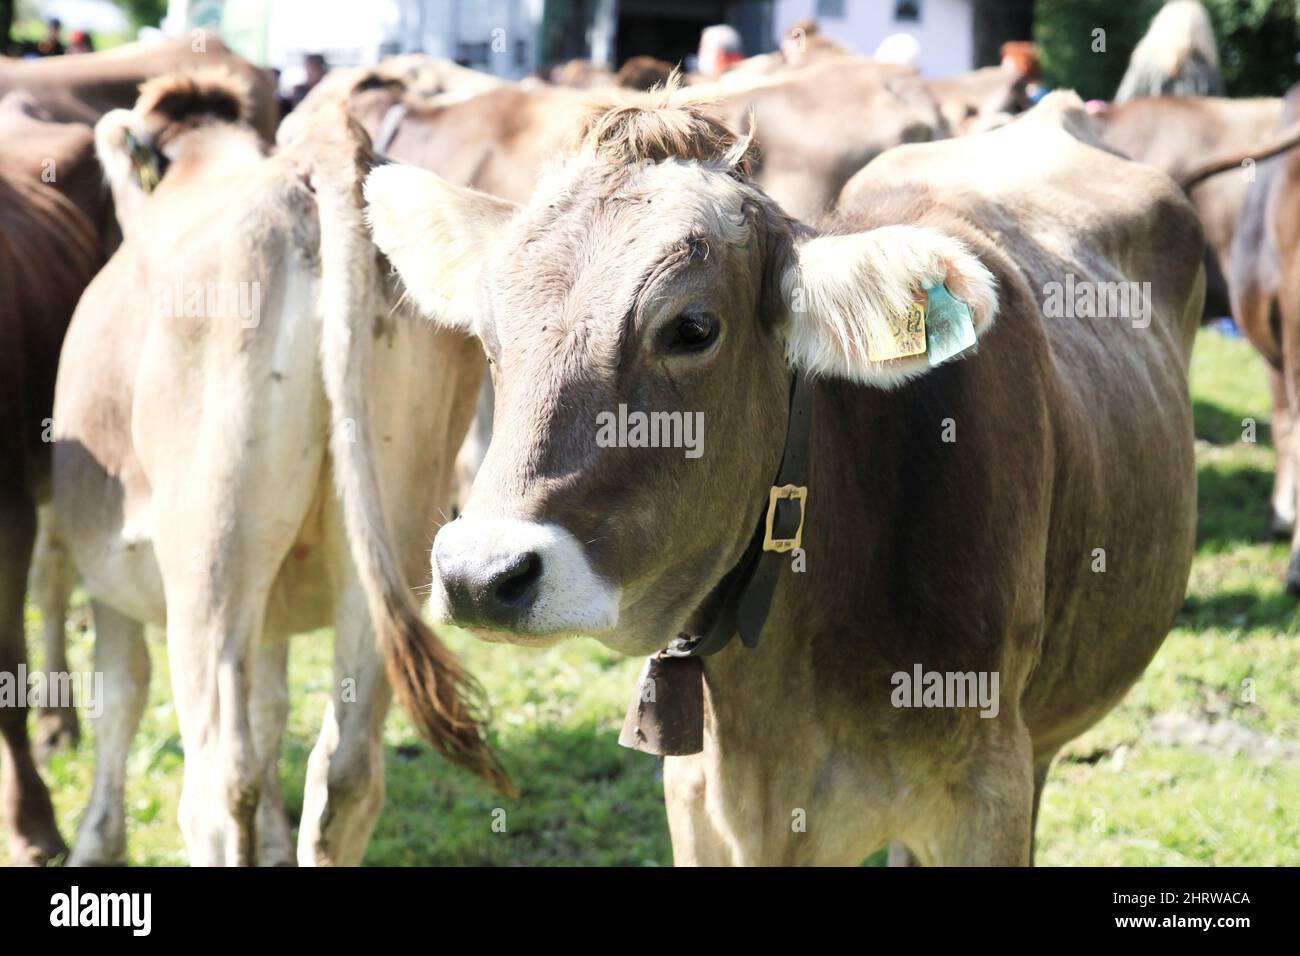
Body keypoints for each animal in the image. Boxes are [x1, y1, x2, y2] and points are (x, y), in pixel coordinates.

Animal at [52, 70, 505, 866]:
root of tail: (322, 160)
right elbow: (271, 707)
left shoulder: (109, 576)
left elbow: (120, 698)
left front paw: (95, 843)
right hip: (392, 542)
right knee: (346, 772)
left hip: (210, 560)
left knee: (214, 785)